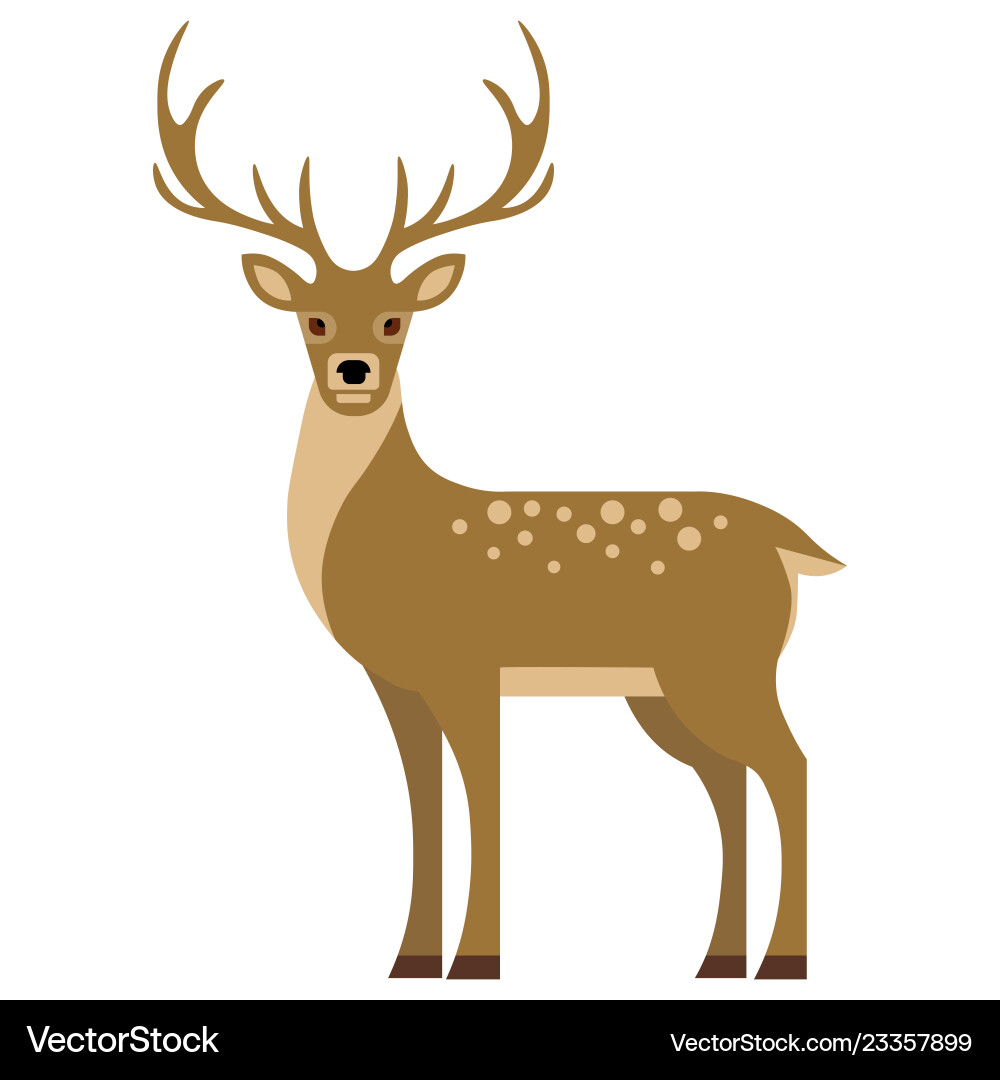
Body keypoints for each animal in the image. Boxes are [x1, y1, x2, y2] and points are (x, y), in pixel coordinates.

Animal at [154, 21, 843, 982]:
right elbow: (426, 806)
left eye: (397, 318)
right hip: (664, 692)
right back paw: (715, 960)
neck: (383, 535)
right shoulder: (397, 683)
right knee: (728, 782)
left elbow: (485, 800)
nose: (354, 372)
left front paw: (479, 958)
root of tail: (791, 545)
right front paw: (410, 959)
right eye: (314, 318)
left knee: (791, 765)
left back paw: (783, 959)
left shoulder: (469, 665)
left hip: (725, 665)